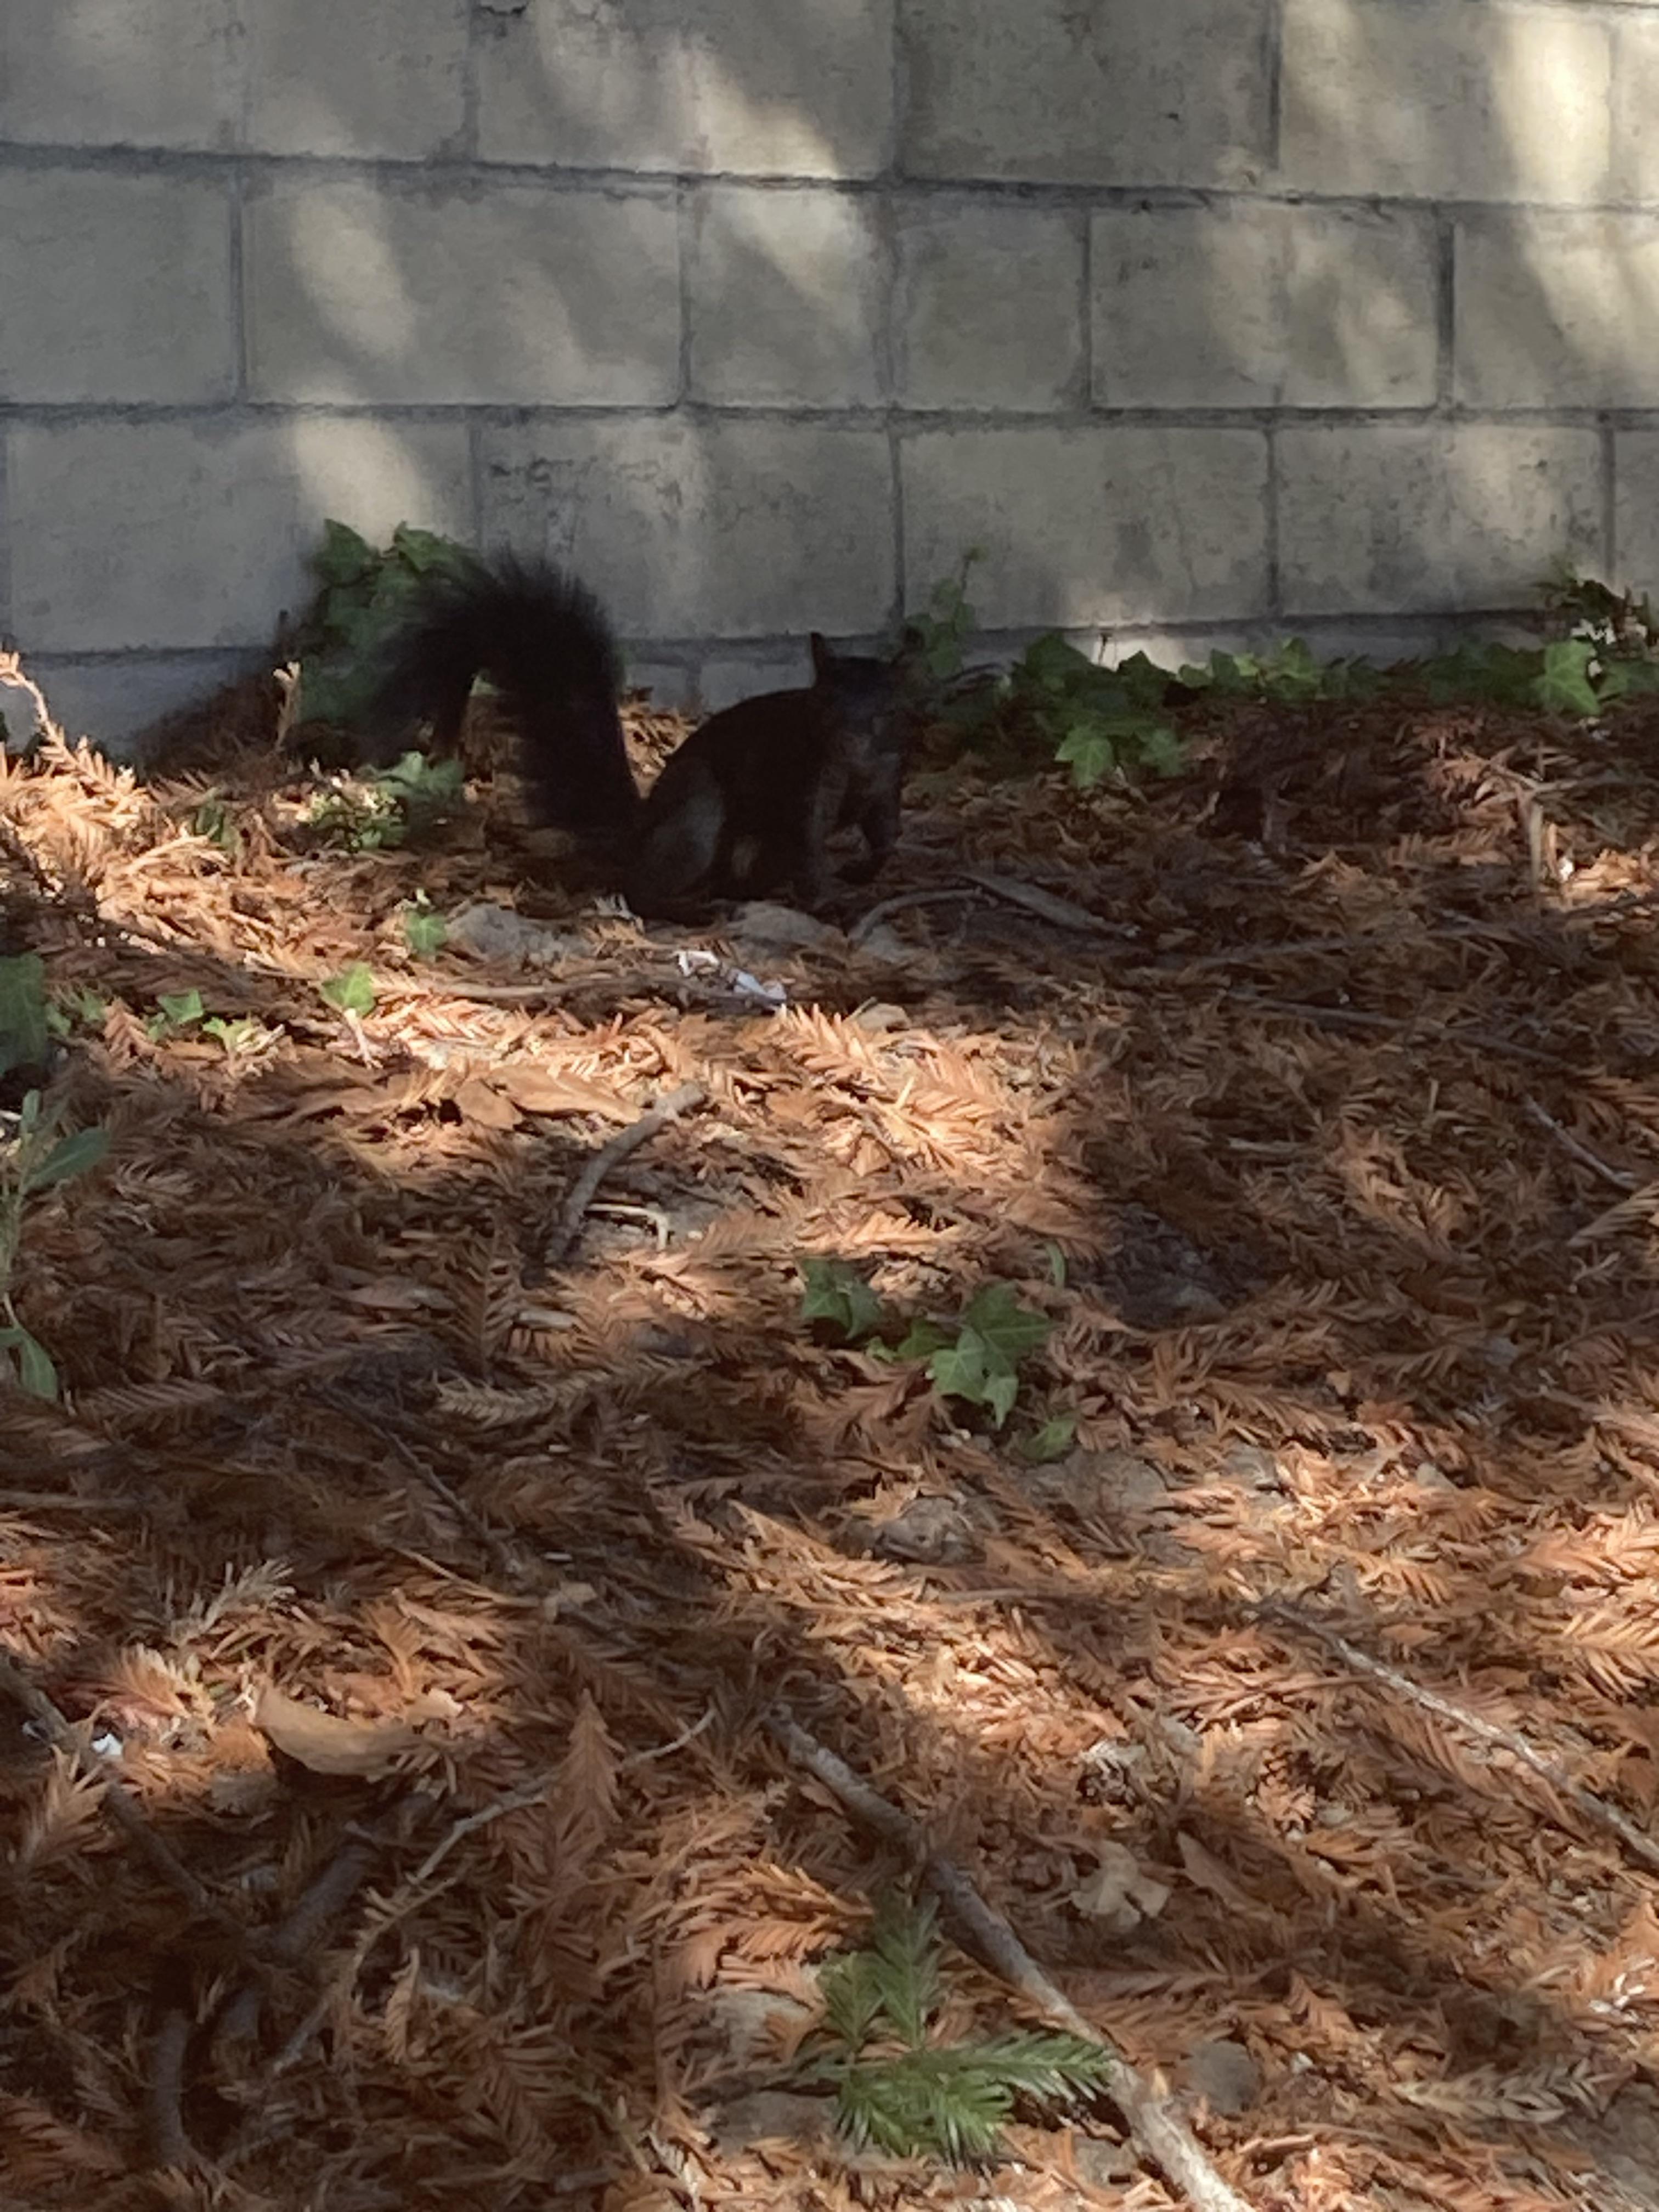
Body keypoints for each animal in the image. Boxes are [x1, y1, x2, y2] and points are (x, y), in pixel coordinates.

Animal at [354, 552, 915, 916]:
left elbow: (887, 837)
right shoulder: (807, 785)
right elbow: (810, 847)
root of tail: (640, 832)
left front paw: (864, 872)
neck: (857, 771)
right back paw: (693, 910)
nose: (847, 741)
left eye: (887, 711)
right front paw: (830, 901)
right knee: (643, 891)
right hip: (699, 818)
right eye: (823, 703)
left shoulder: (887, 781)